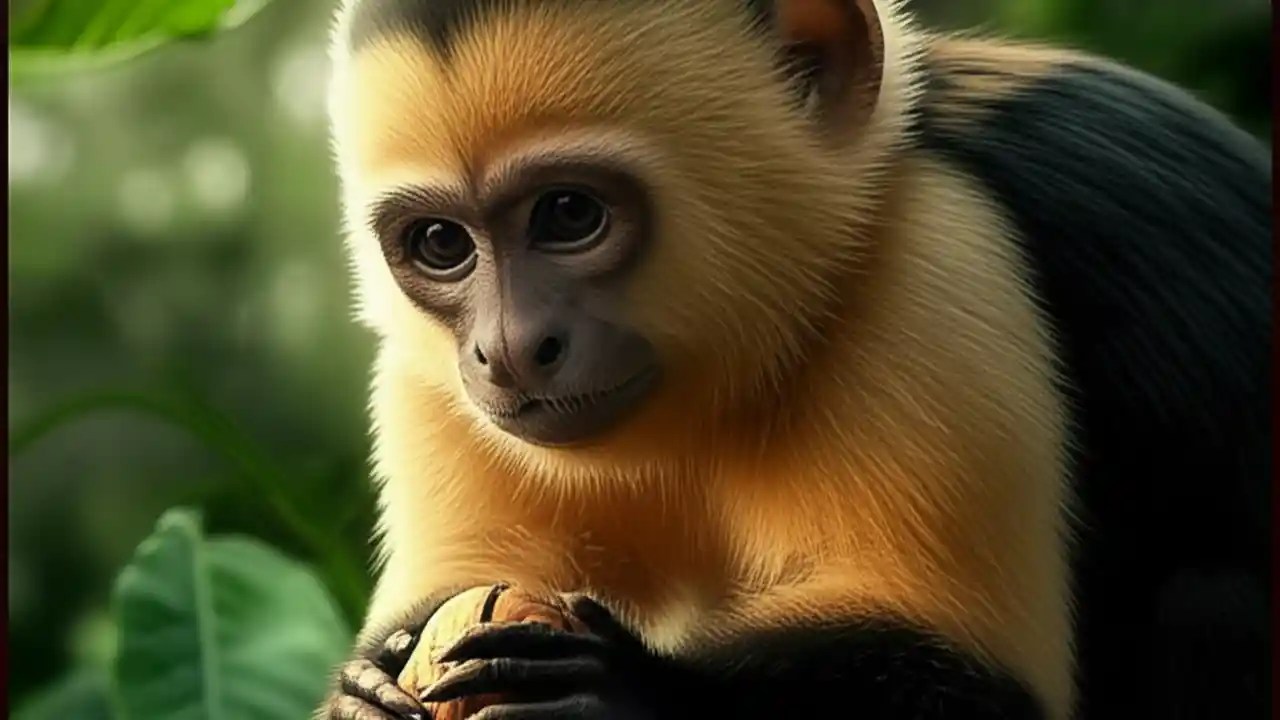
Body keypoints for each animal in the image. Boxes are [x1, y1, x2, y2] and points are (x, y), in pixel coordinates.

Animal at [319, 0, 1271, 718]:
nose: (511, 351)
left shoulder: (941, 254)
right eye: (443, 244)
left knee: (1212, 604)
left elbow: (981, 687)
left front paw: (635, 694)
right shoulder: (425, 376)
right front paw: (370, 686)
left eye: (568, 214)